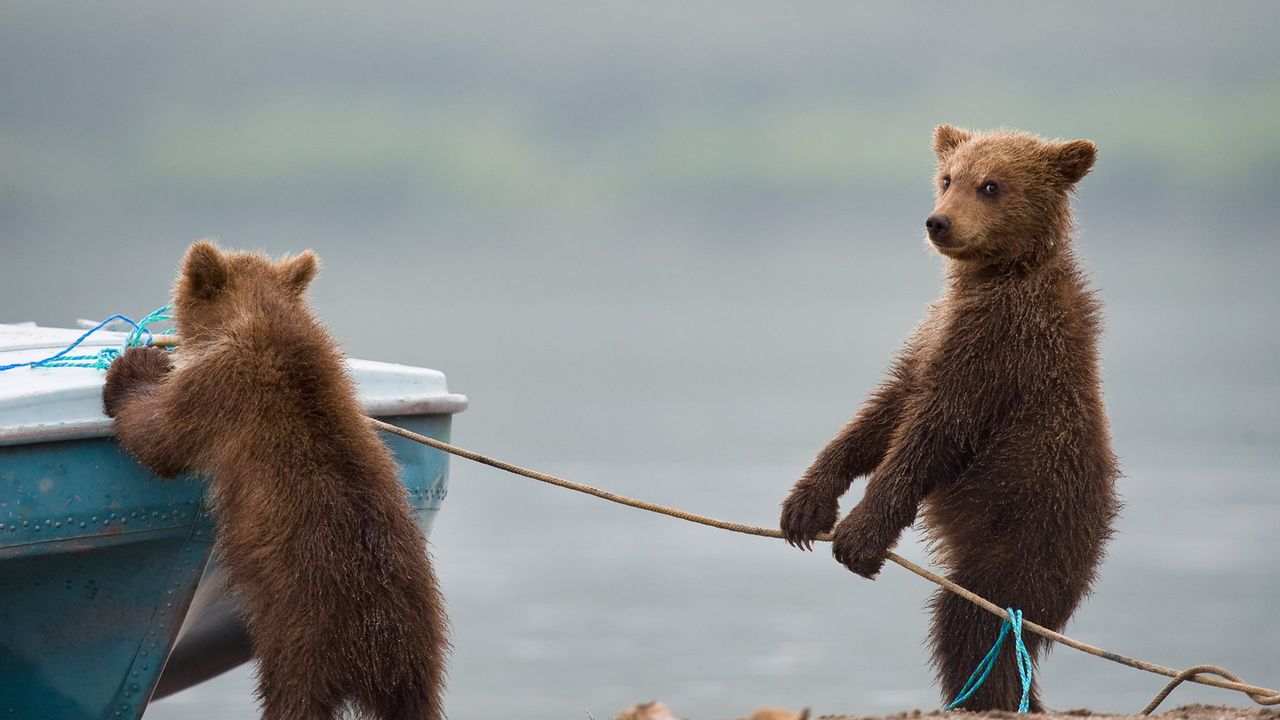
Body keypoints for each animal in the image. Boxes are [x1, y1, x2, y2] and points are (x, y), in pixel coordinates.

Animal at [103, 241, 449, 720]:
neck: (261, 319)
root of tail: (378, 644)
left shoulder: (220, 387)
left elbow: (160, 436)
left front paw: (133, 368)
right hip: (418, 655)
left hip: (301, 634)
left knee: (291, 697)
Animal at [779, 126, 1120, 712]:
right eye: (947, 177)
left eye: (991, 184)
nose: (937, 222)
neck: (999, 273)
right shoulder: (935, 334)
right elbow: (884, 412)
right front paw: (807, 504)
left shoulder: (1000, 345)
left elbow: (932, 433)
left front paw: (859, 536)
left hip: (1027, 534)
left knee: (974, 623)